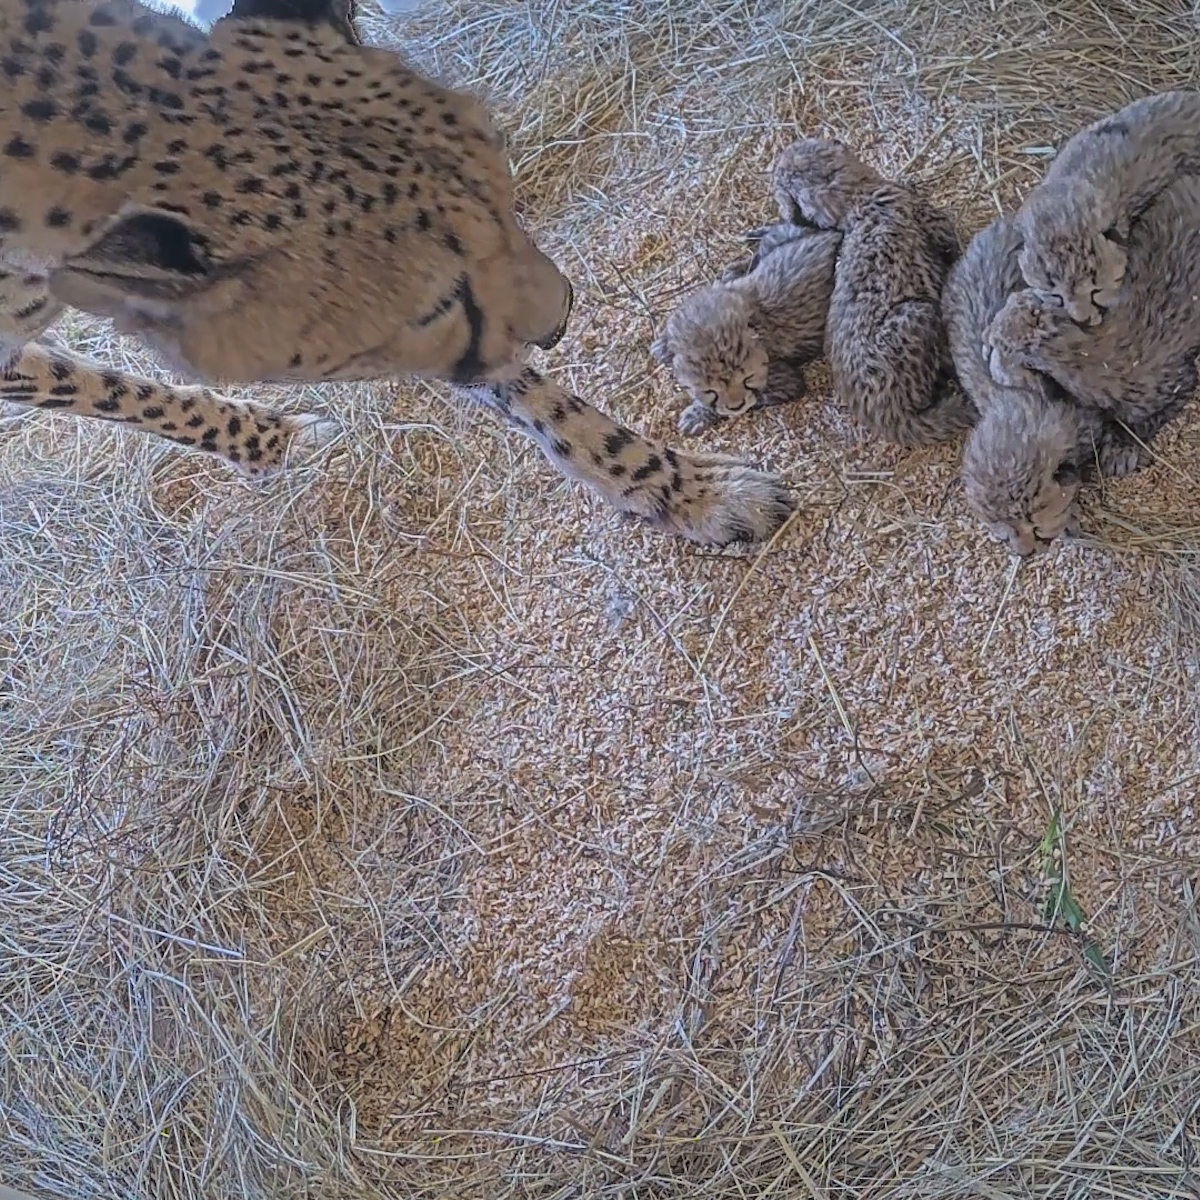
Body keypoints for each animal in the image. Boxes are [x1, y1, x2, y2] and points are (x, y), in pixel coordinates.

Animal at [0, 0, 796, 546]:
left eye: (507, 202)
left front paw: (687, 491)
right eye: (437, 304)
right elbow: (90, 385)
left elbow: (536, 399)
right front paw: (261, 441)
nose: (562, 318)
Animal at [650, 223, 840, 435]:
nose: (736, 406)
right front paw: (663, 346)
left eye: (748, 379)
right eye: (710, 390)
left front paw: (697, 414)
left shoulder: (787, 383)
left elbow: (754, 398)